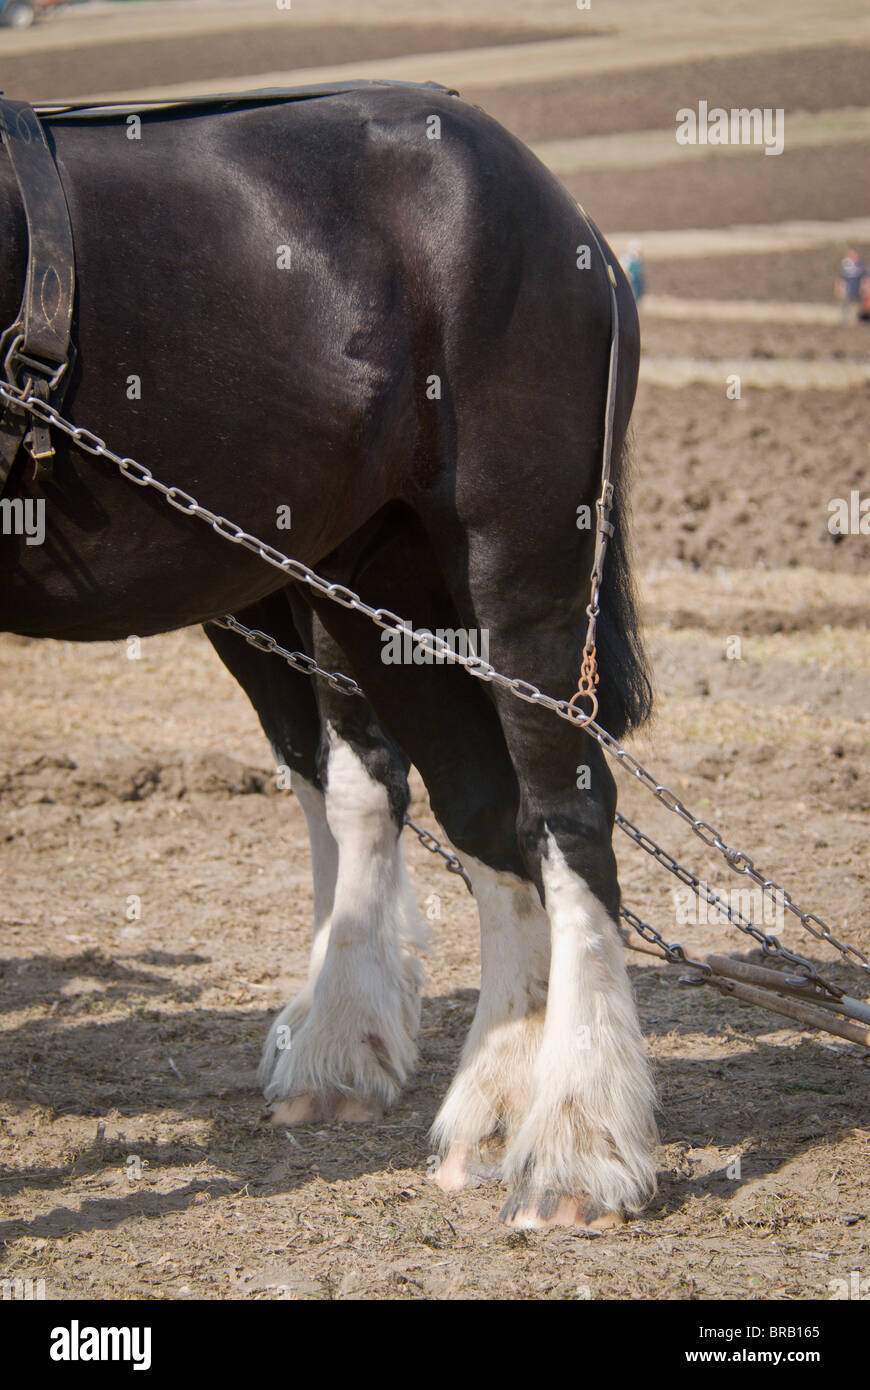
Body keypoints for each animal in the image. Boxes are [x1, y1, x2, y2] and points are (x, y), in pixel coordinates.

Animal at [0, 81, 655, 1229]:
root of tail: (560, 208)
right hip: (364, 581)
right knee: (476, 807)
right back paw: (488, 1093)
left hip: (518, 568)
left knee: (565, 816)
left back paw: (577, 1138)